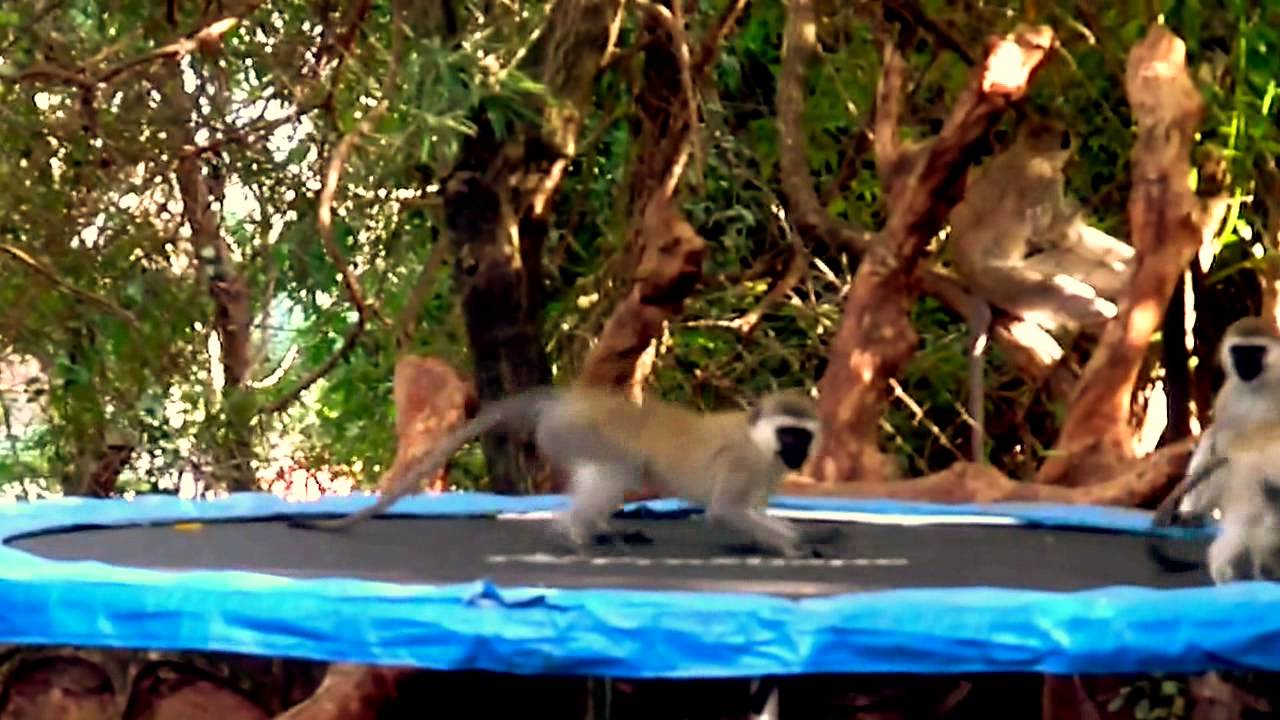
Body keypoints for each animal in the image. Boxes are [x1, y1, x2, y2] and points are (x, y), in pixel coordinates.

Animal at [289, 385, 824, 557]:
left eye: (804, 436)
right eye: (789, 434)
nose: (798, 455)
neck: (762, 446)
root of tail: (567, 399)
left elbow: (751, 512)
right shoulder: (741, 465)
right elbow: (725, 511)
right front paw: (796, 548)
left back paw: (601, 529)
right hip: (579, 432)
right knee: (619, 468)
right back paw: (575, 532)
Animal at [1148, 317, 1280, 579]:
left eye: (1256, 351)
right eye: (1239, 351)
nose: (1244, 365)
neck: (1257, 388)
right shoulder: (1226, 399)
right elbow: (1220, 445)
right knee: (1213, 442)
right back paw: (1195, 513)